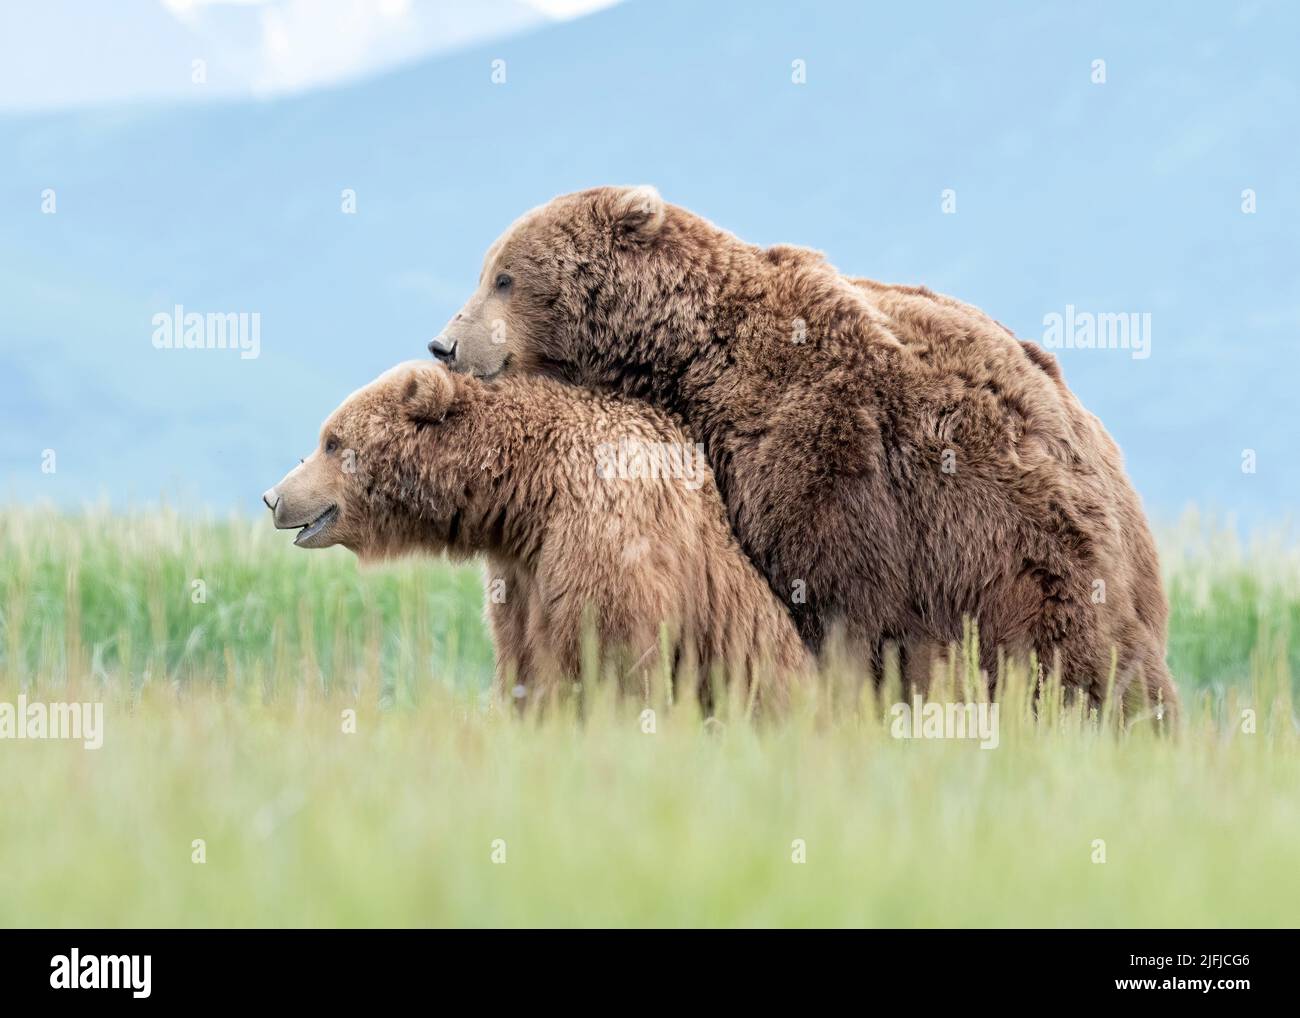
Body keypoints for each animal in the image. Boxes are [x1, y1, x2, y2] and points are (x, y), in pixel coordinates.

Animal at [262, 360, 810, 711]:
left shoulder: (605, 535)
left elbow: (608, 655)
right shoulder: (520, 566)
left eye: (332, 442)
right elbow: (521, 652)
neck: (527, 489)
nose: (273, 497)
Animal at [428, 186, 1178, 724]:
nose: (445, 344)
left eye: (504, 277)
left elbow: (834, 593)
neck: (689, 360)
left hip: (1019, 548)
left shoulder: (822, 439)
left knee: (1082, 660)